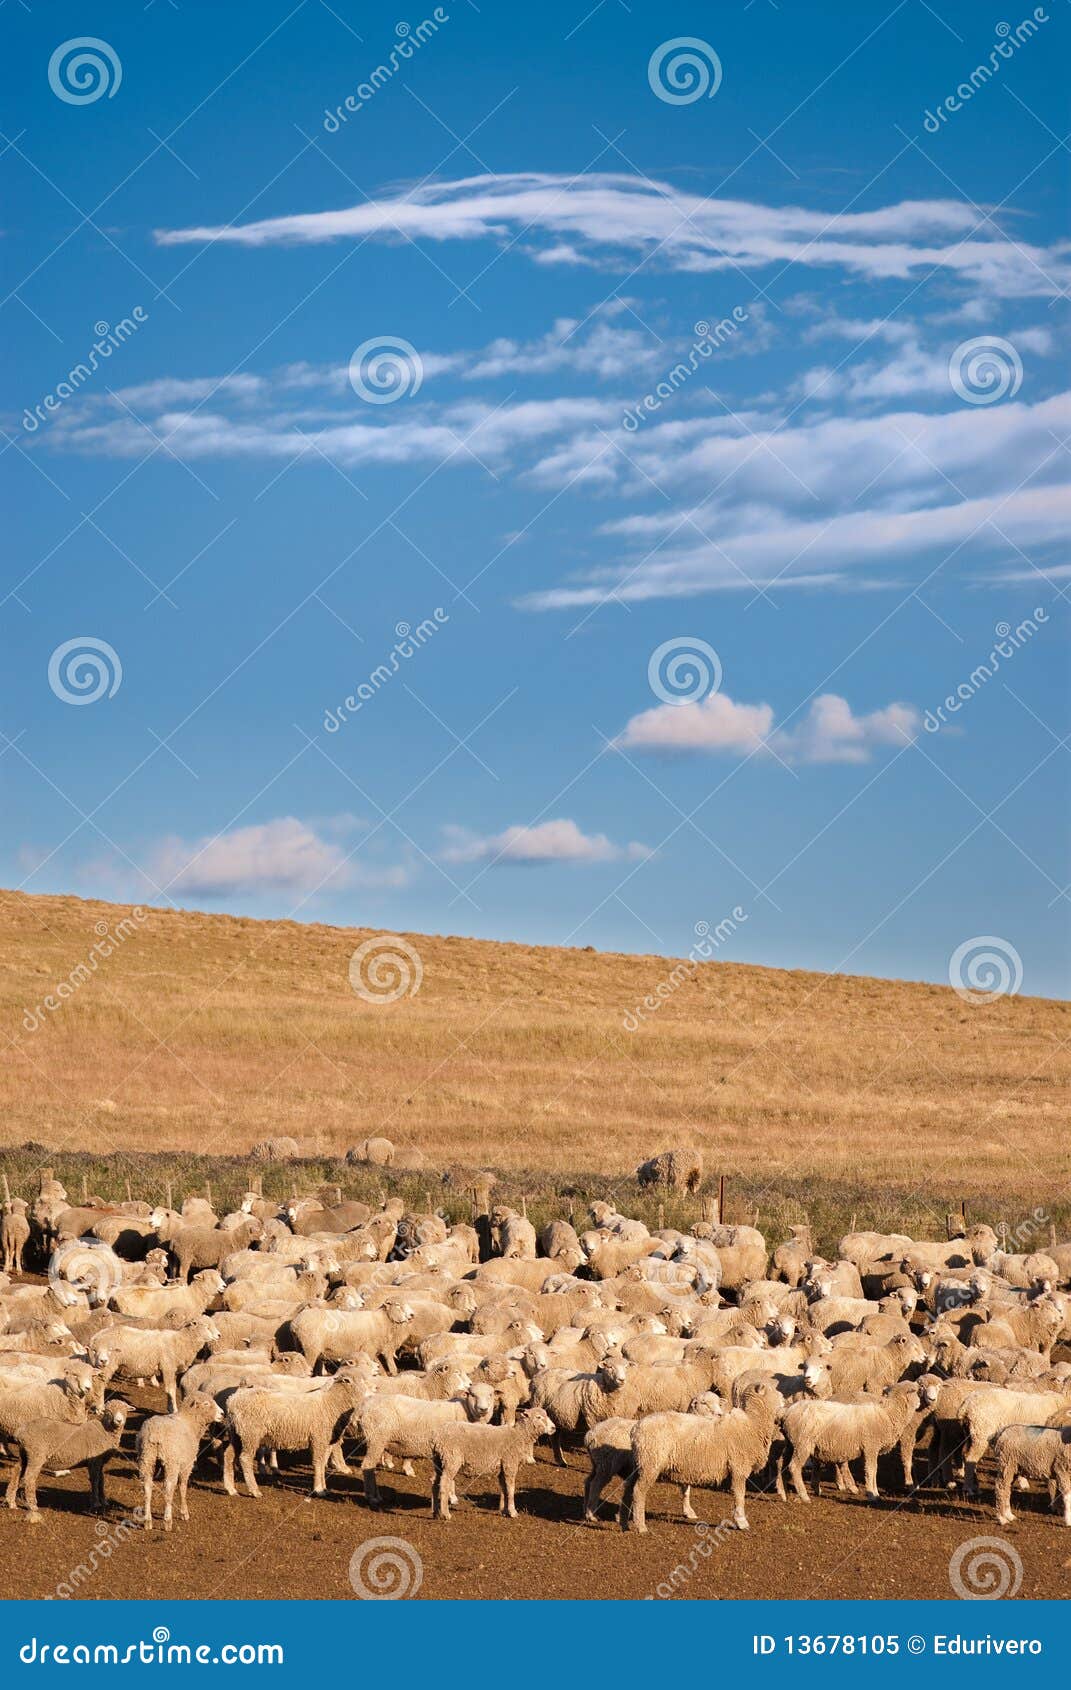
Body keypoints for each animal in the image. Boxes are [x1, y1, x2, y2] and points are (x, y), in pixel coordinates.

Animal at [88, 1316, 221, 1412]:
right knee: (99, 1384)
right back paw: (100, 1408)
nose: (219, 1335)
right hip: (105, 1364)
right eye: (207, 1327)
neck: (181, 1341)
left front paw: (170, 1407)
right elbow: (170, 1390)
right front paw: (174, 1410)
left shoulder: (172, 1370)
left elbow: (172, 1388)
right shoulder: (167, 1367)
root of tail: (95, 1337)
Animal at [137, 1391, 225, 1531]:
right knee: (168, 1488)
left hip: (146, 1458)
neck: (190, 1421)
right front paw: (184, 1513)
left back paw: (147, 1521)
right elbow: (182, 1487)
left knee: (147, 1487)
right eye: (206, 1403)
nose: (222, 1413)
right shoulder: (186, 1464)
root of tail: (155, 1433)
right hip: (171, 1461)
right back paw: (168, 1521)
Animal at [224, 1374, 371, 1497]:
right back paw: (255, 1491)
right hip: (250, 1434)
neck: (331, 1402)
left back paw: (231, 1489)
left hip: (237, 1433)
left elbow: (323, 1463)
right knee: (245, 1458)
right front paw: (318, 1489)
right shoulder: (318, 1438)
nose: (371, 1395)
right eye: (352, 1381)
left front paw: (324, 1487)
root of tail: (233, 1399)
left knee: (229, 1455)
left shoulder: (326, 1441)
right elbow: (318, 1463)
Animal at [622, 1378, 782, 1533]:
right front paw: (741, 1522)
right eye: (778, 1395)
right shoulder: (738, 1467)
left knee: (629, 1487)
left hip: (639, 1463)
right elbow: (739, 1494)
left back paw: (623, 1522)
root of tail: (635, 1428)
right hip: (650, 1463)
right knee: (638, 1491)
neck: (753, 1423)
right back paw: (641, 1526)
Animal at [781, 1381, 925, 1502]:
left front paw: (876, 1493)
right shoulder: (871, 1447)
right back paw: (804, 1496)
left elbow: (873, 1470)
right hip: (802, 1443)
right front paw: (872, 1494)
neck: (888, 1413)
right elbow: (871, 1470)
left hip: (791, 1443)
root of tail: (787, 1412)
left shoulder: (872, 1449)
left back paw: (783, 1493)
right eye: (917, 1391)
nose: (920, 1404)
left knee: (782, 1465)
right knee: (794, 1467)